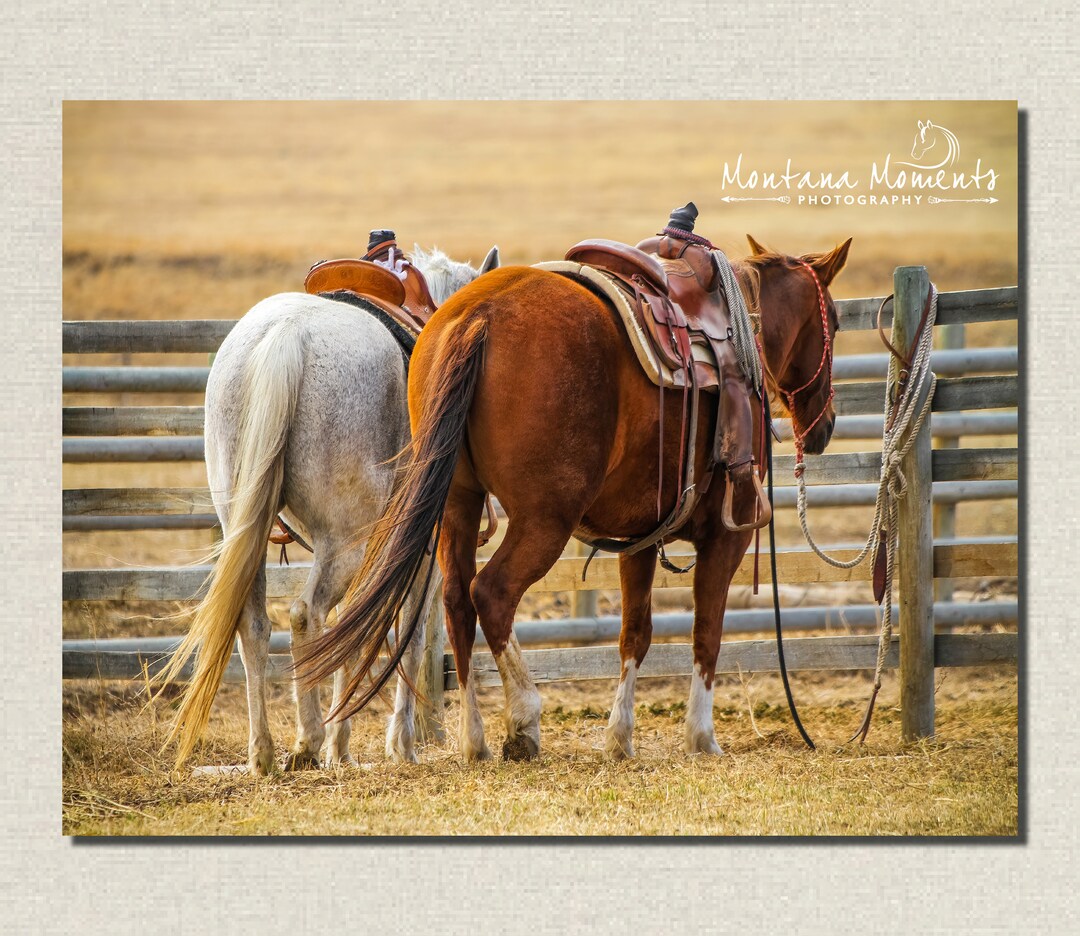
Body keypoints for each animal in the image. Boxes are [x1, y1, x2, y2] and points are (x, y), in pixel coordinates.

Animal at [157, 244, 500, 775]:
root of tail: (285, 337)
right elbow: (407, 635)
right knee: (306, 616)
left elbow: (352, 632)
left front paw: (345, 745)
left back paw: (265, 753)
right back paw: (308, 740)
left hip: (249, 529)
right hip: (346, 543)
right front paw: (399, 744)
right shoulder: (420, 556)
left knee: (255, 624)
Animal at [295, 233, 850, 762]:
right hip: (545, 520)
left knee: (457, 601)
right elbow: (706, 631)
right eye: (838, 321)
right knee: (491, 593)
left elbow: (635, 633)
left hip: (459, 503)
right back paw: (523, 720)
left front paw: (620, 738)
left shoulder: (640, 537)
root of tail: (477, 316)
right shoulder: (724, 537)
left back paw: (475, 739)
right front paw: (701, 736)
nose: (825, 426)